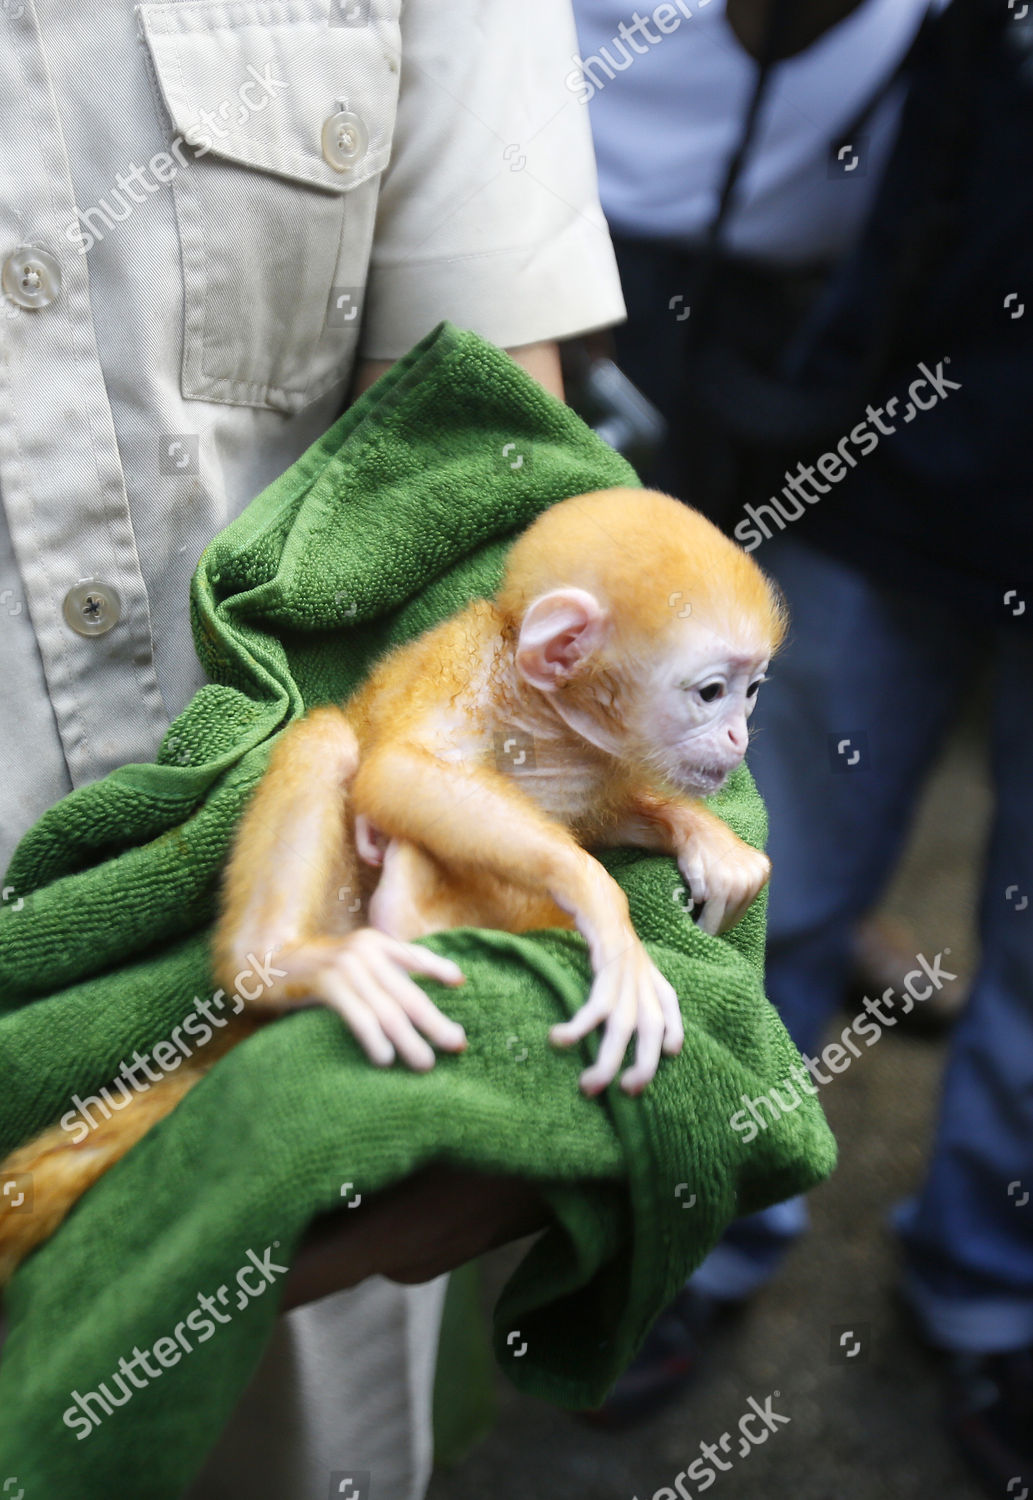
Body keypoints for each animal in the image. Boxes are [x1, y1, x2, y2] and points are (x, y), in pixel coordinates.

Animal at [0, 488, 786, 1284]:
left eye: (752, 693)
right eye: (711, 693)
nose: (738, 738)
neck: (548, 717)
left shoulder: (594, 769)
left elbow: (604, 809)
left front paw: (707, 842)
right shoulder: (474, 688)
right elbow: (398, 773)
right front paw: (605, 914)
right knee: (334, 747)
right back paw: (299, 956)